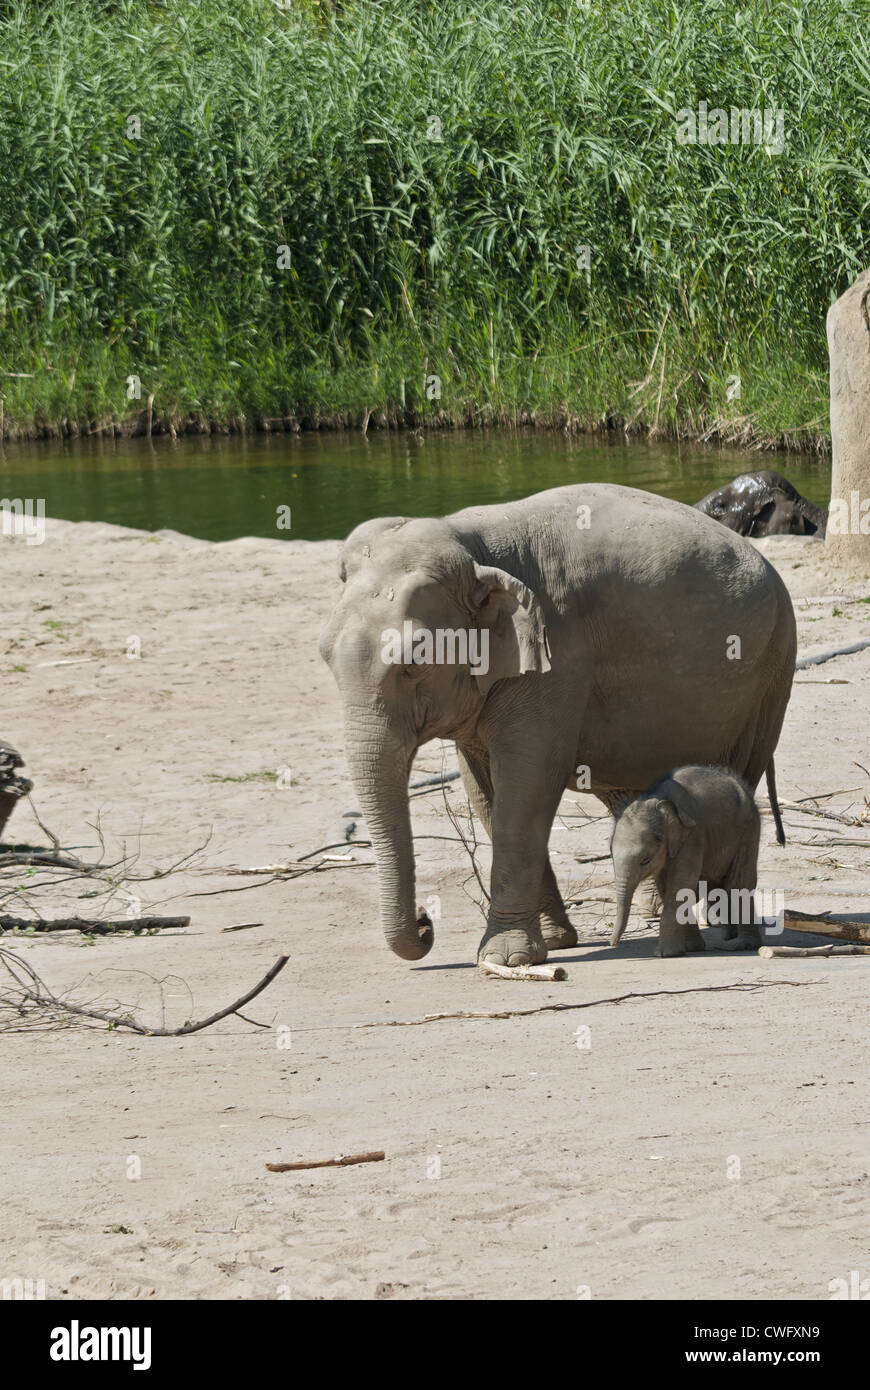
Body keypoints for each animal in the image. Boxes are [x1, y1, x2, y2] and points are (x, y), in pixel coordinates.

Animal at [610, 765, 762, 957]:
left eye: (645, 860)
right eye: (611, 855)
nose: (613, 944)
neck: (655, 799)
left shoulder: (692, 836)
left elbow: (681, 883)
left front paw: (665, 954)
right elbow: (668, 886)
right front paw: (690, 948)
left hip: (747, 831)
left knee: (738, 883)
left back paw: (744, 944)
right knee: (714, 886)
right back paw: (727, 936)